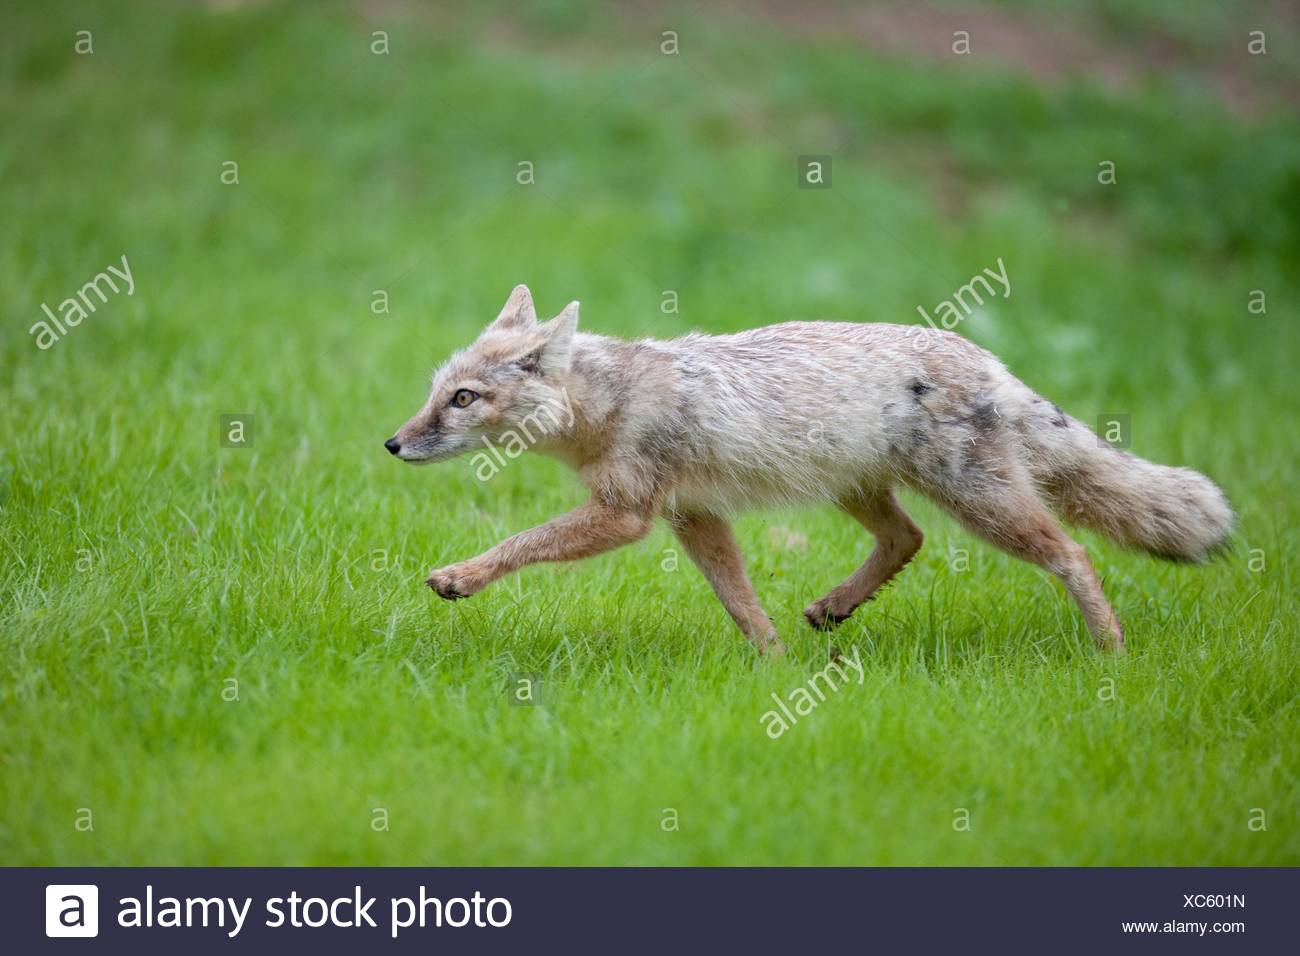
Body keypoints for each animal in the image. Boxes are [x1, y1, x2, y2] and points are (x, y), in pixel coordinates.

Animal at [386, 285, 1234, 655]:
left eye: (463, 399)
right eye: (435, 392)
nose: (392, 445)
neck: (611, 399)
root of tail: (988, 358)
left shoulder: (626, 516)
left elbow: (520, 544)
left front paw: (461, 577)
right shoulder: (695, 517)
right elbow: (740, 601)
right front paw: (772, 665)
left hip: (983, 508)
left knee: (1073, 553)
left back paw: (1110, 650)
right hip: (863, 493)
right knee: (907, 540)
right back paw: (835, 608)